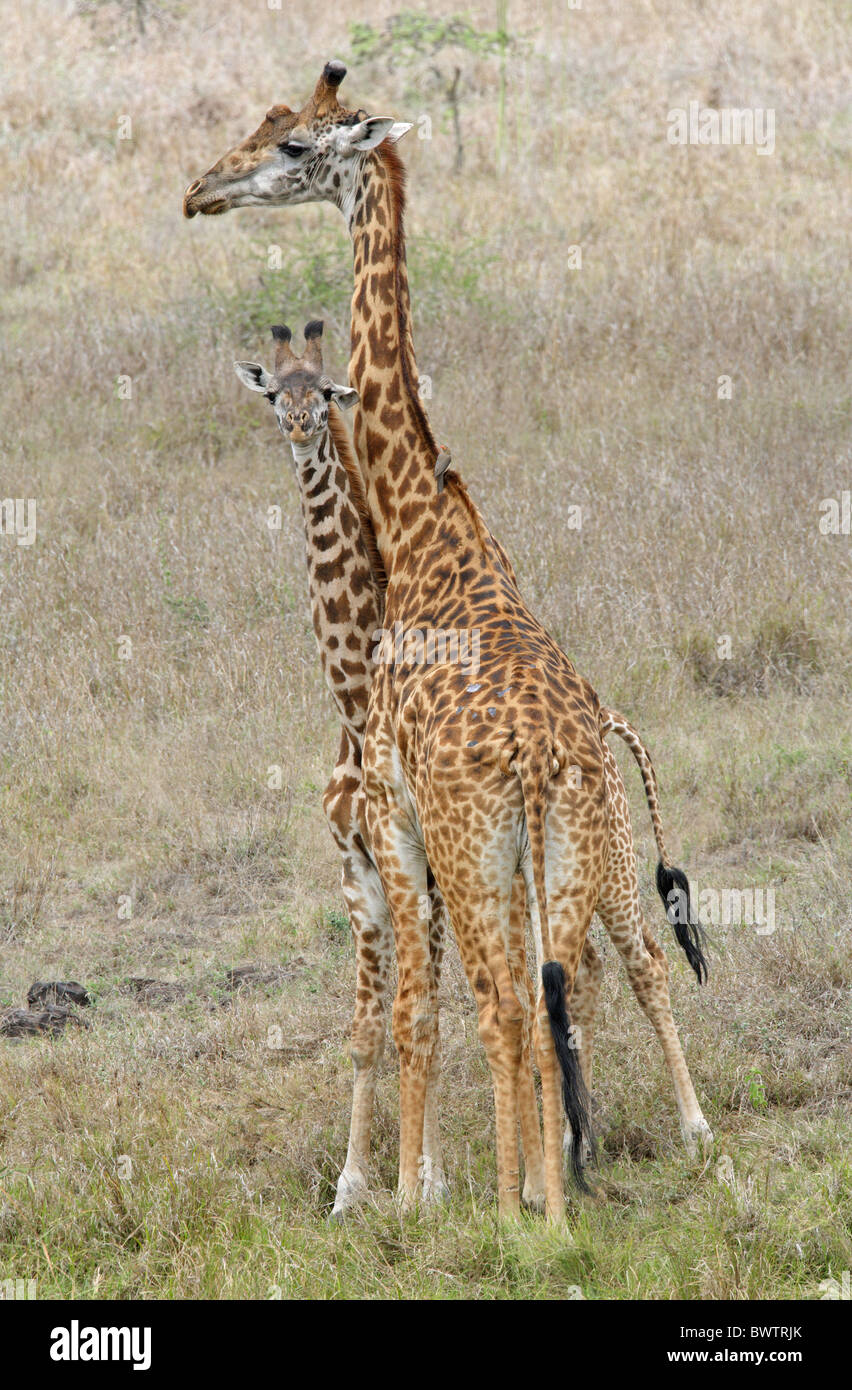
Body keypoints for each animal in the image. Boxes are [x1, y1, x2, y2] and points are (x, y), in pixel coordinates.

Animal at [186, 64, 713, 1218]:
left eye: (294, 146)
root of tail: (548, 760)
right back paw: (567, 1181)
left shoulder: (398, 818)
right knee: (572, 983)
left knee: (512, 999)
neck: (429, 522)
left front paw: (406, 1192)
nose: (201, 191)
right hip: (562, 857)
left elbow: (414, 1014)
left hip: (485, 855)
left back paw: (523, 1205)